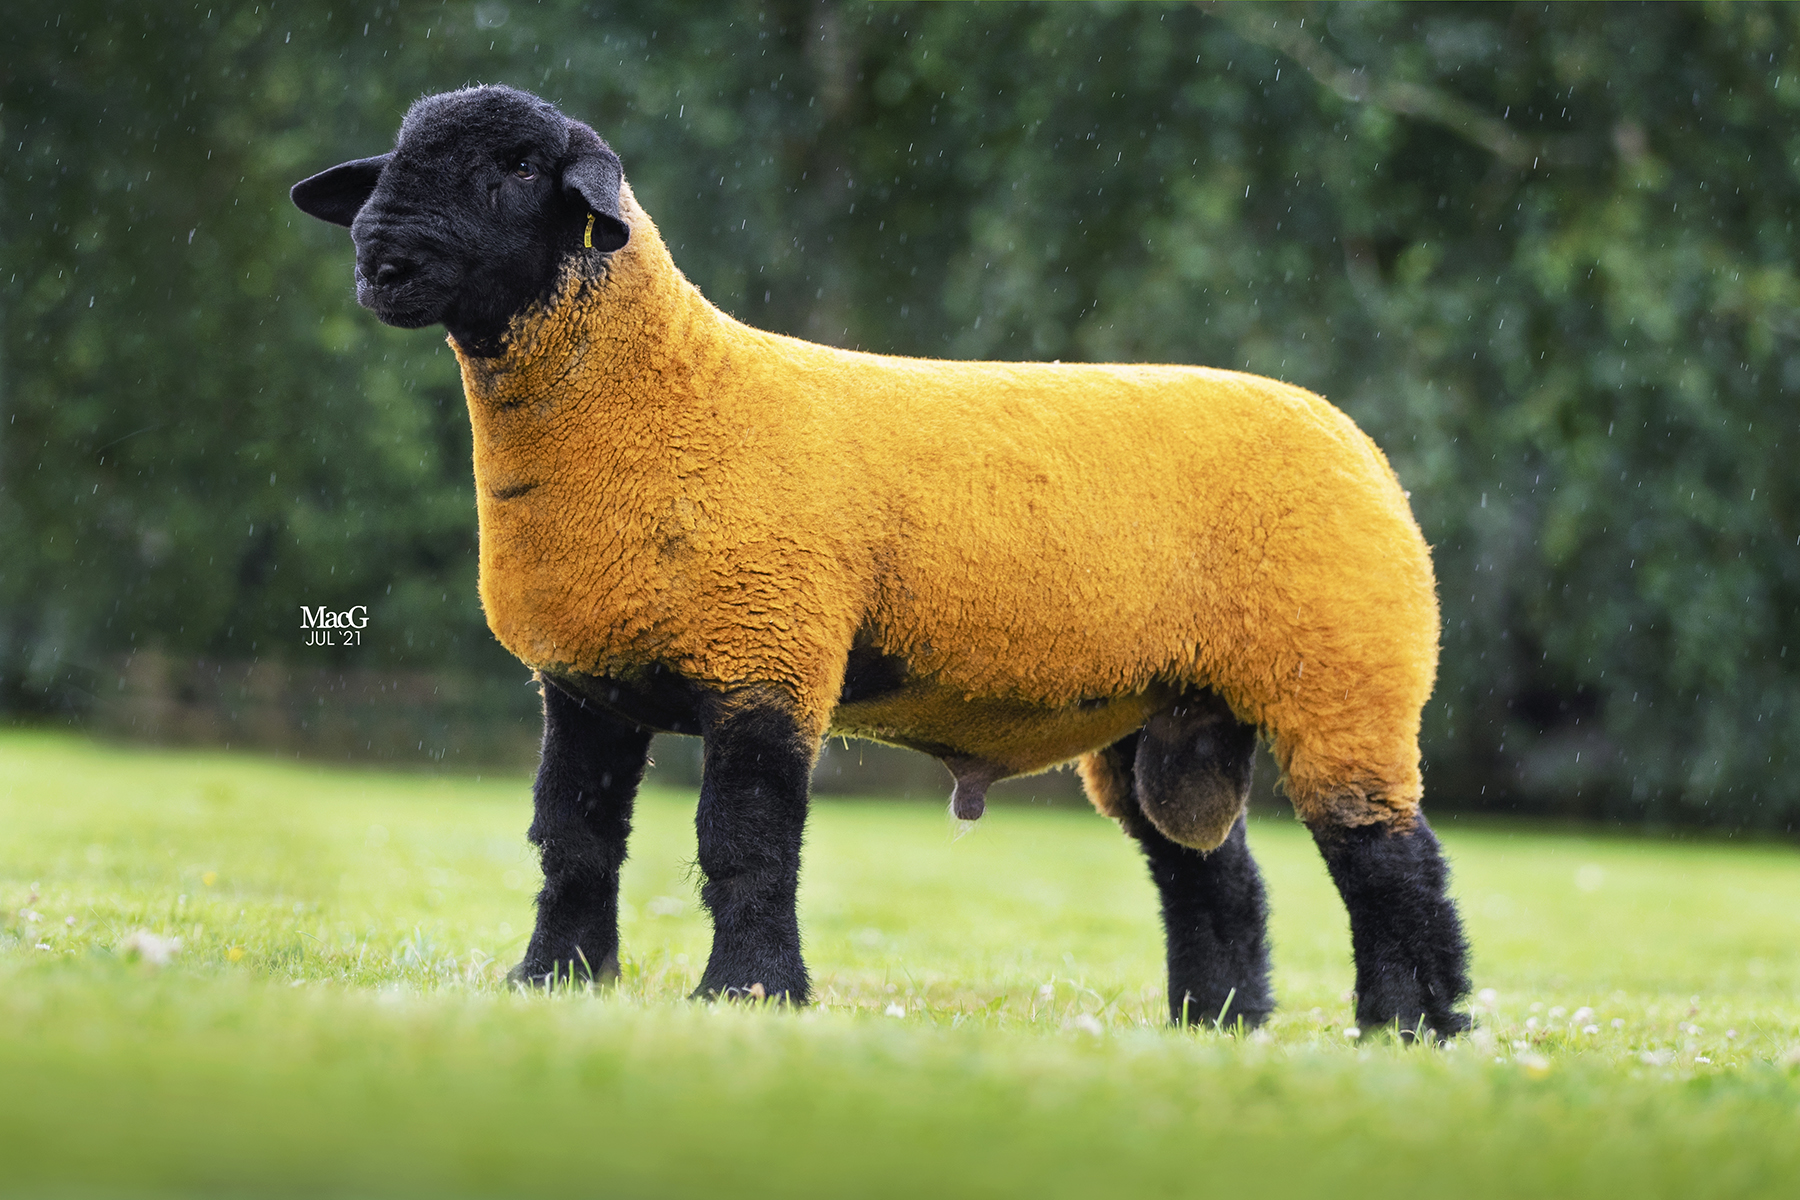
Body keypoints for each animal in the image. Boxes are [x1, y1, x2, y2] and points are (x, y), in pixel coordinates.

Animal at [292, 85, 1470, 1037]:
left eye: (520, 169)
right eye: (395, 163)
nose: (382, 260)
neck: (666, 398)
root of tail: (1354, 441)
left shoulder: (767, 655)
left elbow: (746, 845)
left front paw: (749, 994)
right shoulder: (587, 682)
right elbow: (574, 841)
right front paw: (554, 983)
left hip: (1347, 677)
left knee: (1392, 861)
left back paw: (1414, 1027)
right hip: (1166, 714)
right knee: (1214, 878)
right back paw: (1217, 1023)